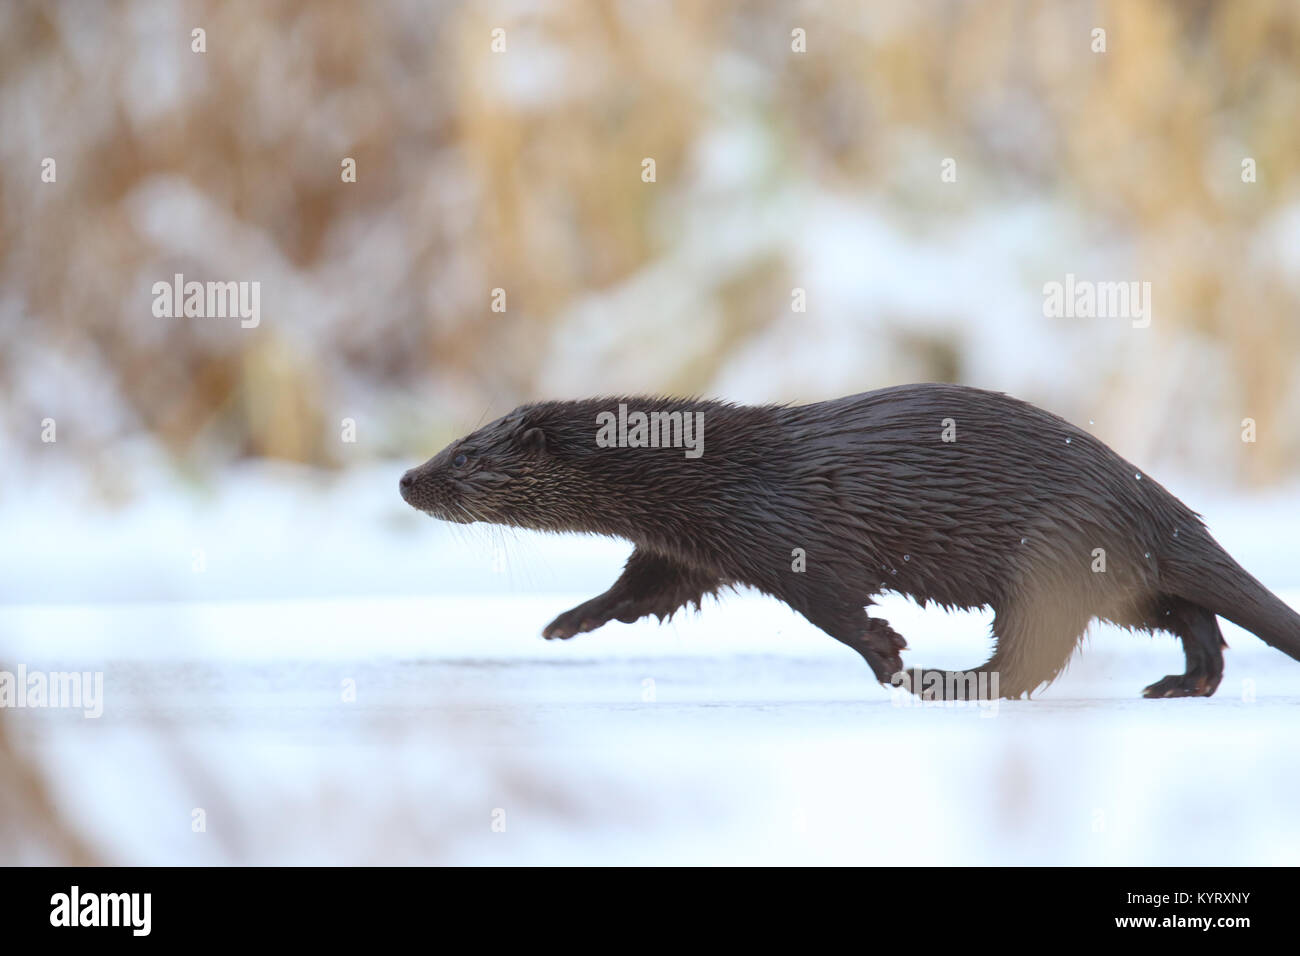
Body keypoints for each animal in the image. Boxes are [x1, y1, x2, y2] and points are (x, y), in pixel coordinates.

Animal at [399, 384, 1300, 699]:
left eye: (463, 458)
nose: (407, 478)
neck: (715, 478)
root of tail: (1147, 498)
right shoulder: (696, 545)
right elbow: (645, 589)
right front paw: (569, 621)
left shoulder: (784, 534)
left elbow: (835, 606)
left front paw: (888, 653)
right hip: (1115, 573)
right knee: (1186, 616)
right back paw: (1184, 683)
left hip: (1054, 549)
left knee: (1035, 653)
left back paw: (946, 682)